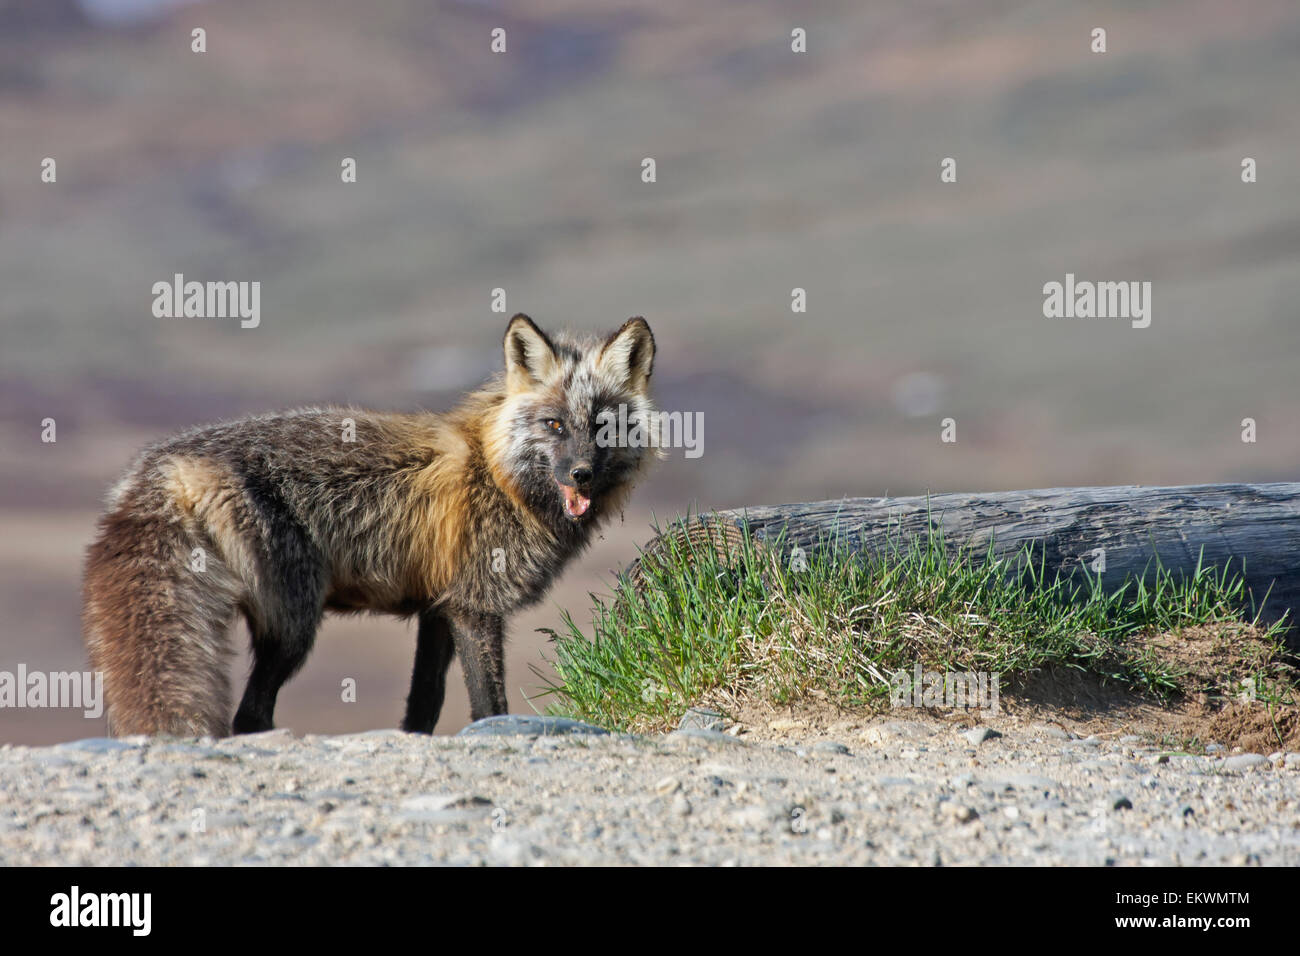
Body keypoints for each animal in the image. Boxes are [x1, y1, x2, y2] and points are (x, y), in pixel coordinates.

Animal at [82, 313, 658, 737]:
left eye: (603, 427)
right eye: (554, 425)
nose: (581, 474)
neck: (499, 476)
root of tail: (170, 462)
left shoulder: (439, 609)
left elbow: (424, 706)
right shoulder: (475, 607)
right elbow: (488, 705)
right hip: (294, 627)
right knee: (250, 715)